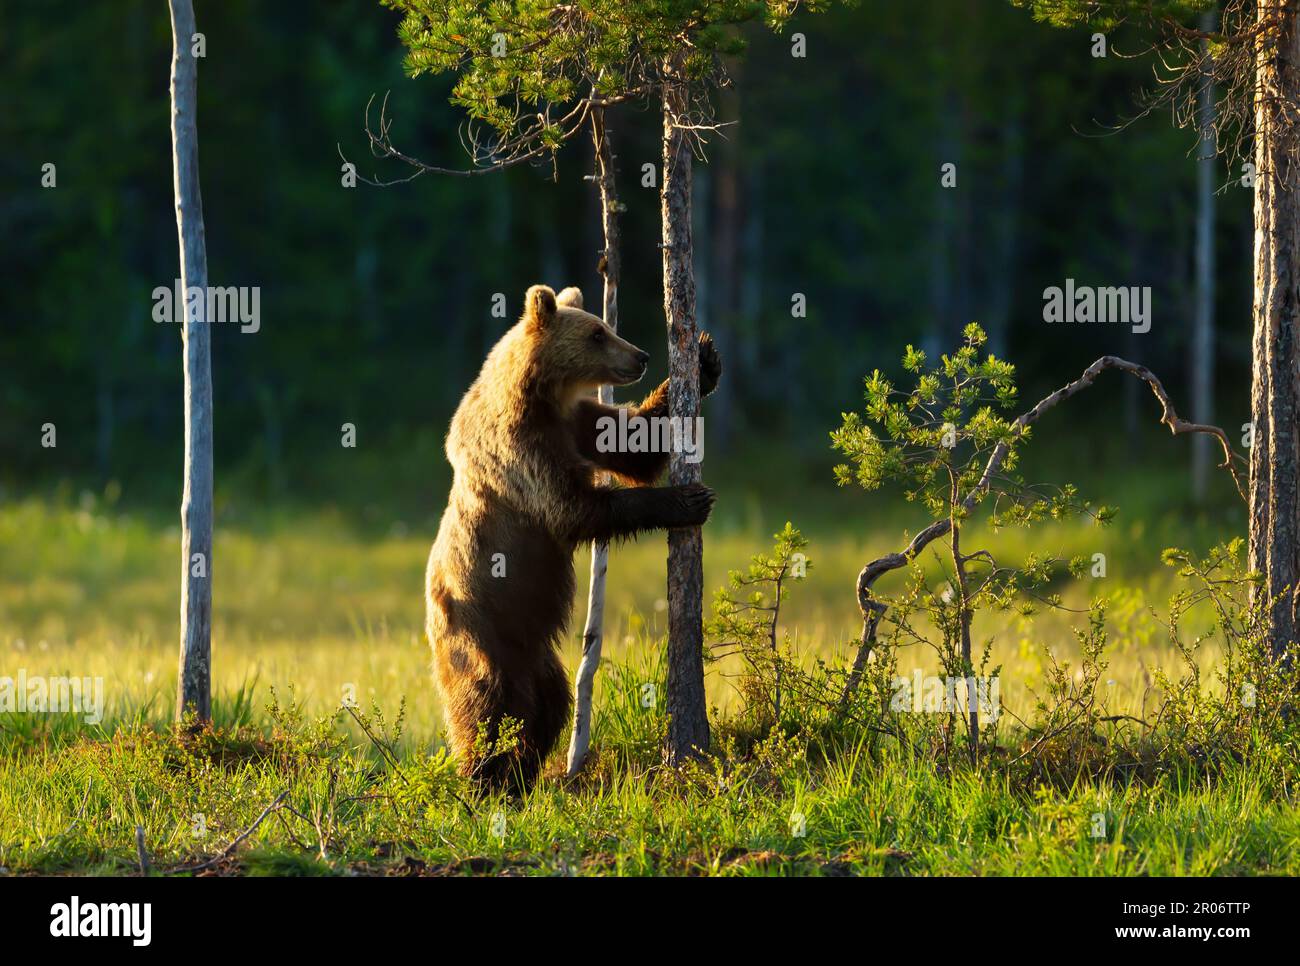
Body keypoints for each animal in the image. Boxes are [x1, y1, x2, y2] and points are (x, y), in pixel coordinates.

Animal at [425, 283, 721, 792]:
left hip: (533, 648)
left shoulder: (579, 422)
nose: (641, 356)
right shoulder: (523, 447)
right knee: (485, 705)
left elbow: (635, 443)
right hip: (478, 629)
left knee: (548, 704)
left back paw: (521, 773)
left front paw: (704, 356)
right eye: (597, 334)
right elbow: (575, 510)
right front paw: (688, 498)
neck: (545, 395)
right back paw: (481, 777)